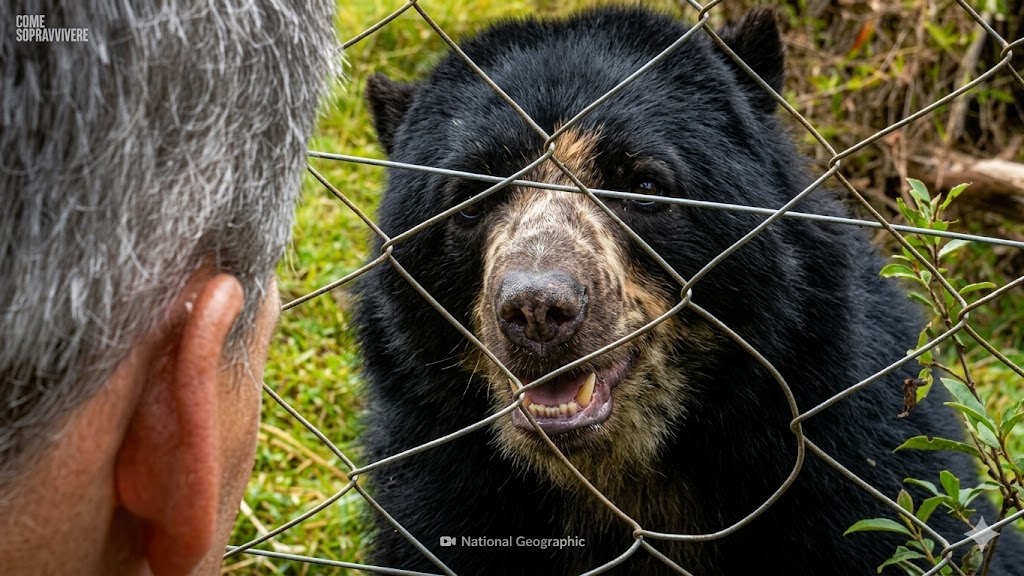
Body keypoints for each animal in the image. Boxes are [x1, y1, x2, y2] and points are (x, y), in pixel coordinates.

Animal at [355, 7, 1023, 575]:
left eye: (644, 184)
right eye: (469, 201)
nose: (538, 310)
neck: (628, 478)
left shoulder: (853, 439)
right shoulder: (437, 481)